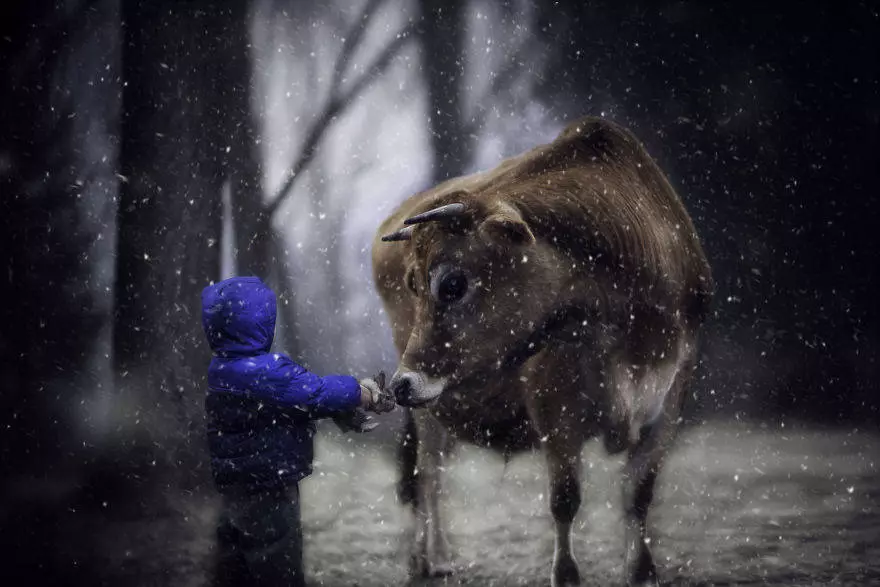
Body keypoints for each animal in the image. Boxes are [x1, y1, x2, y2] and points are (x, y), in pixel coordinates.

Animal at [372, 116, 716, 587]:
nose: (403, 384)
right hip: (429, 412)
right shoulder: (555, 402)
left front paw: (641, 571)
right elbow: (565, 497)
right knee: (428, 475)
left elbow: (639, 490)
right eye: (413, 285)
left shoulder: (673, 393)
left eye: (452, 283)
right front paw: (566, 574)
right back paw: (431, 557)